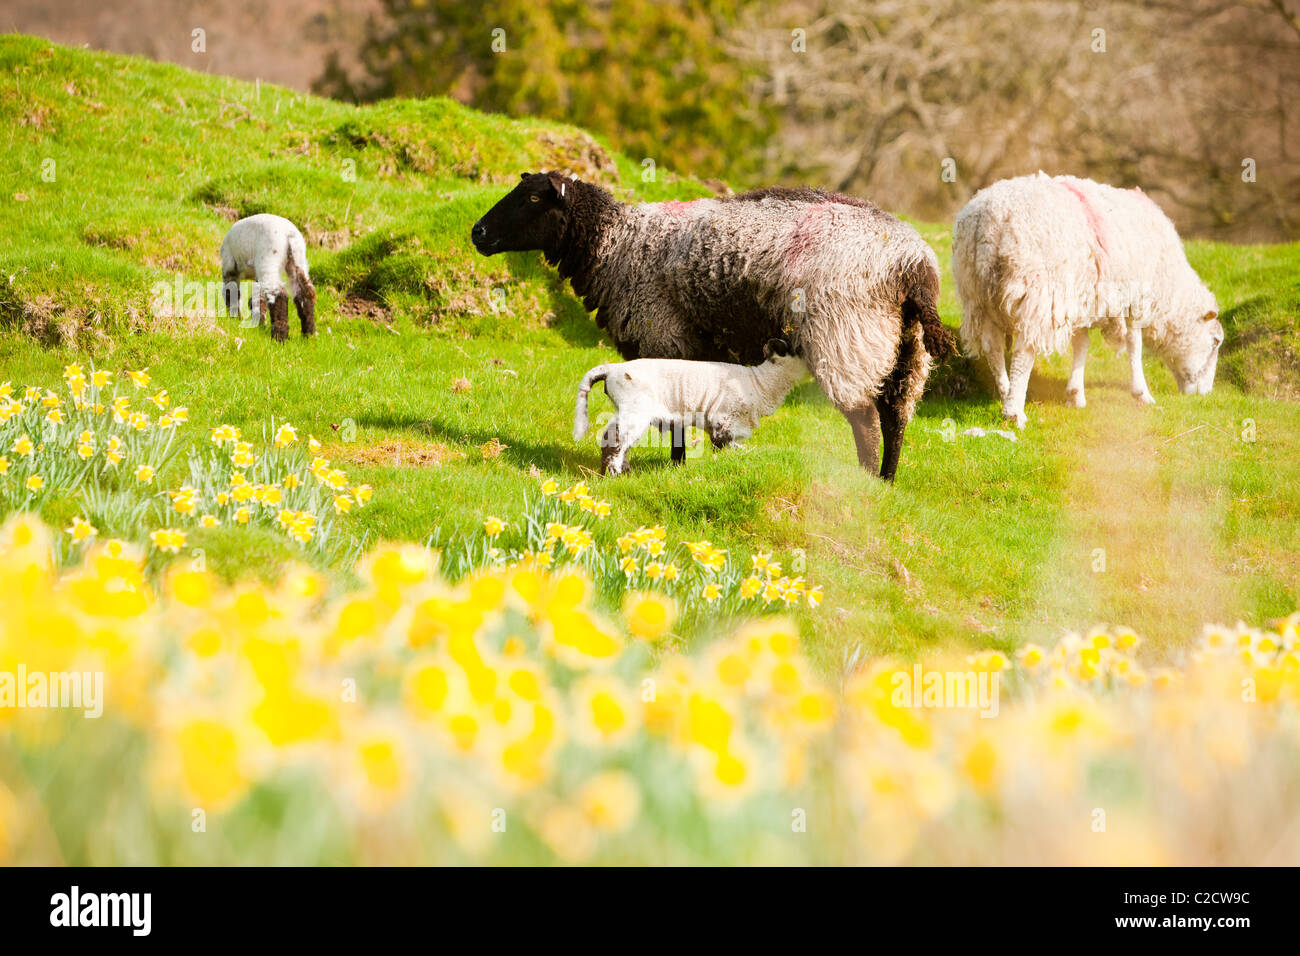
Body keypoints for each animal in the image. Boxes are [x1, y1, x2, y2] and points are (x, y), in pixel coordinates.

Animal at [219, 213, 316, 342]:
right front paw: (259, 324)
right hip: (298, 260)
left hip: (268, 259)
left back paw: (279, 337)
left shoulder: (229, 268)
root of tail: (290, 234)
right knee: (304, 293)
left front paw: (235, 318)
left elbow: (233, 293)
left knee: (278, 294)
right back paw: (309, 335)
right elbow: (258, 299)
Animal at [573, 338, 808, 476]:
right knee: (613, 439)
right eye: (796, 349)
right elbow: (722, 446)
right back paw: (614, 474)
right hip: (635, 408)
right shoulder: (721, 419)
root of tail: (612, 369)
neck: (760, 384)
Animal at [952, 172, 1223, 427]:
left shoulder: (1081, 300)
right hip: (1037, 293)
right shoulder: (1134, 301)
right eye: (1216, 342)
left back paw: (1006, 393)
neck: (1168, 287)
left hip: (976, 296)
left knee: (993, 348)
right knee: (1022, 354)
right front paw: (1142, 393)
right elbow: (1134, 346)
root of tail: (991, 219)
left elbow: (1081, 345)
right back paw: (1014, 412)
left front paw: (1075, 395)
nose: (1205, 394)